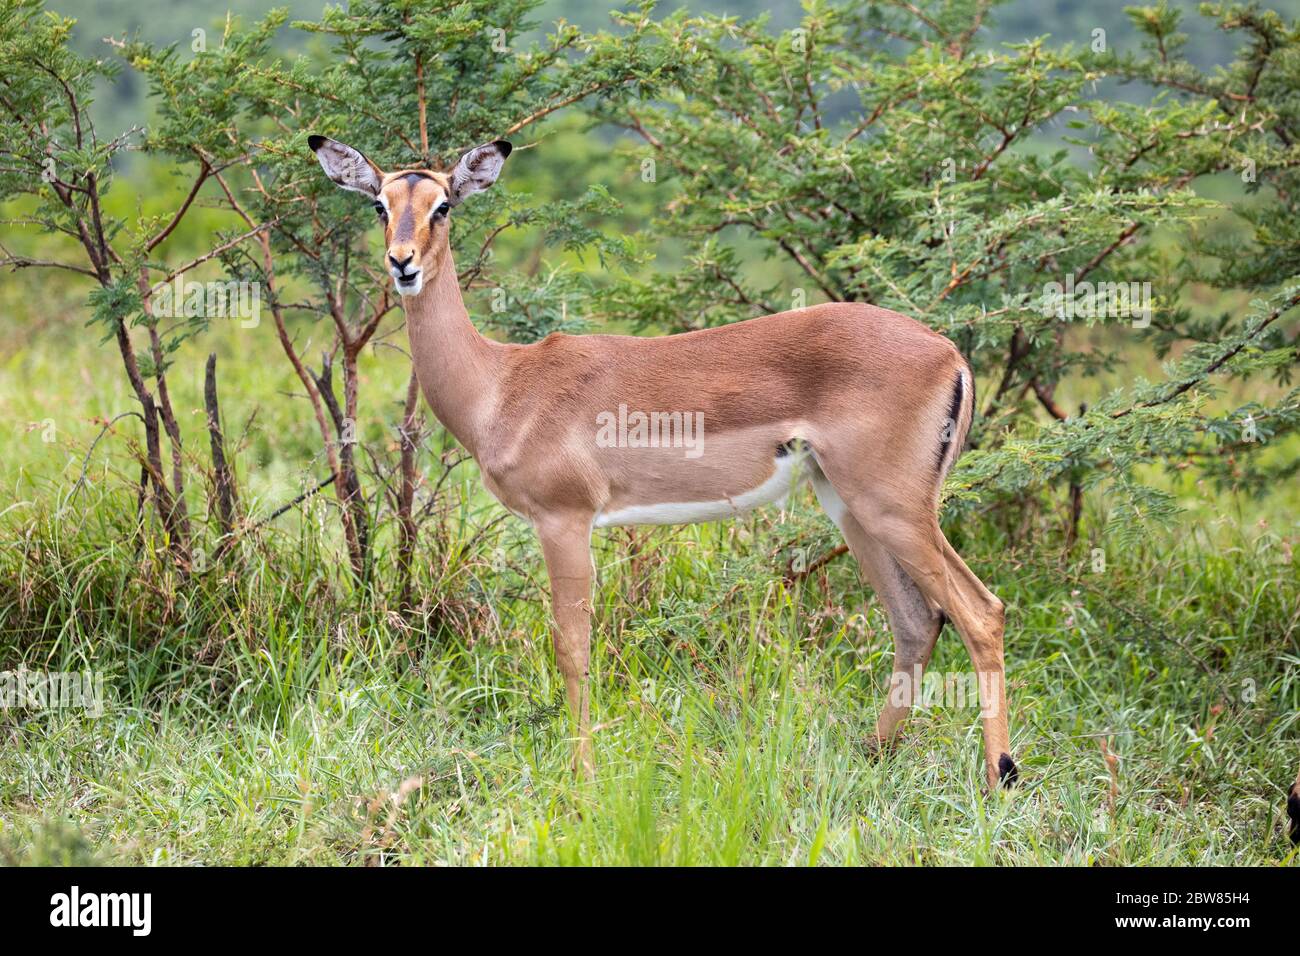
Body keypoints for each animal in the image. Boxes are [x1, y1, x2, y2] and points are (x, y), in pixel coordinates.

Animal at [309, 133, 1017, 789]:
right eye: (379, 205)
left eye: (444, 205)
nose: (402, 264)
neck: (503, 386)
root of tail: (948, 353)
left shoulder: (564, 521)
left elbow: (572, 647)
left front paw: (585, 778)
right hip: (851, 506)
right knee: (917, 621)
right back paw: (872, 756)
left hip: (893, 507)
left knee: (981, 612)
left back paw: (1000, 775)